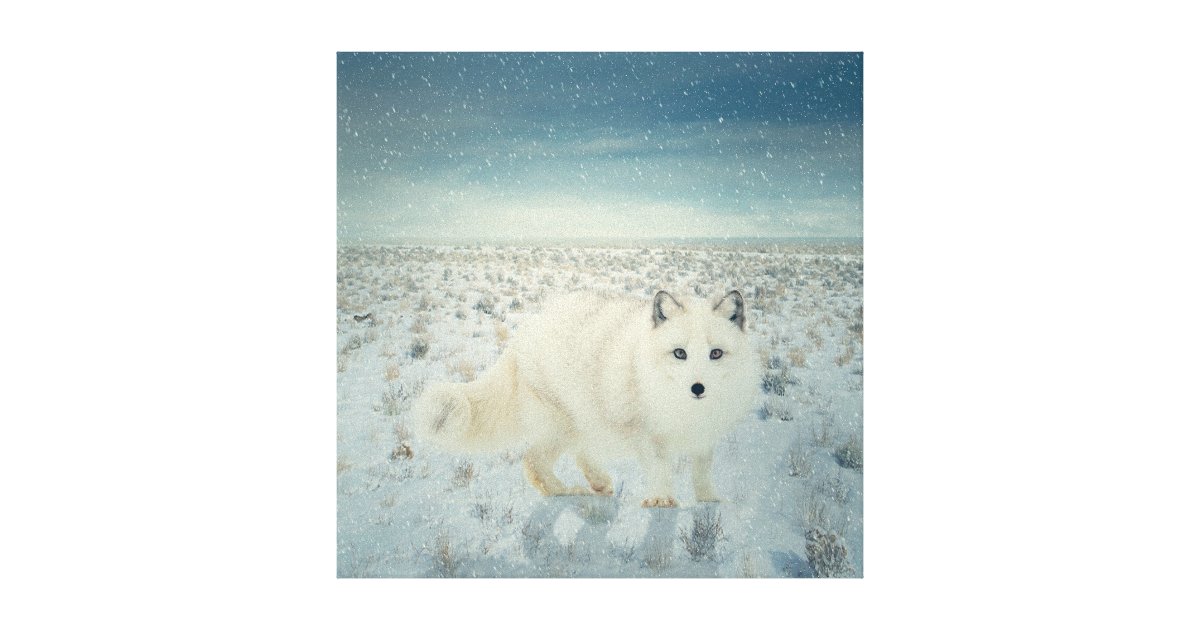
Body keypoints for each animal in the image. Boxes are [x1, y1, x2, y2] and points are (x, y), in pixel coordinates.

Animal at [413, 289, 761, 508]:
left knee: (578, 455)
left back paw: (599, 483)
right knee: (533, 462)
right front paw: (662, 500)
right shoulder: (646, 433)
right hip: (562, 424)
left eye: (716, 353)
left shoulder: (705, 437)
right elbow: (660, 469)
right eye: (680, 353)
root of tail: (525, 330)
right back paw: (567, 492)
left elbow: (702, 472)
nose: (697, 387)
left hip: (584, 420)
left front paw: (709, 500)